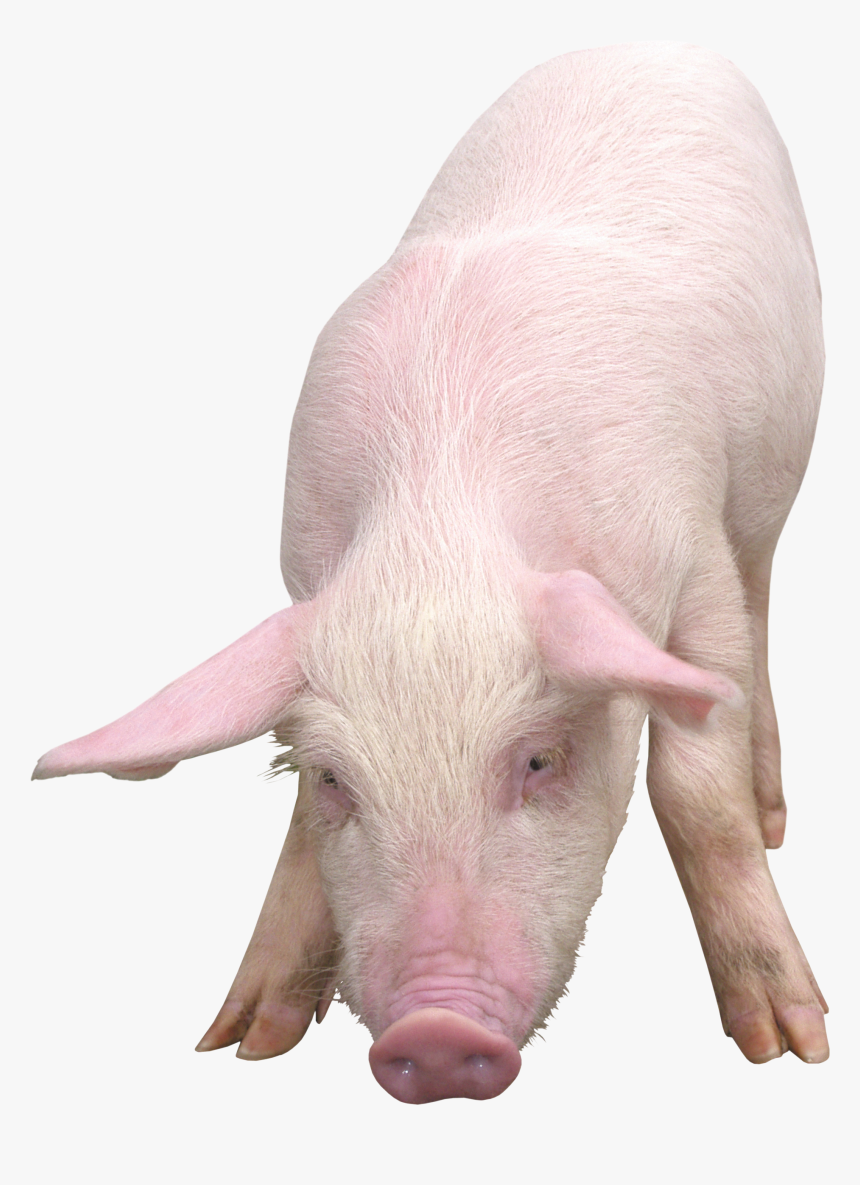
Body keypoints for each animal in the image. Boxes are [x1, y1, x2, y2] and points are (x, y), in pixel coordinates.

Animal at [33, 42, 828, 1103]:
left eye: (538, 760)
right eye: (336, 777)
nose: (440, 1034)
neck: (436, 527)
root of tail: (647, 40)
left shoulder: (690, 547)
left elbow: (698, 793)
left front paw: (790, 1045)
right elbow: (294, 829)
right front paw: (243, 1039)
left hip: (775, 475)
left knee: (764, 600)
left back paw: (775, 809)